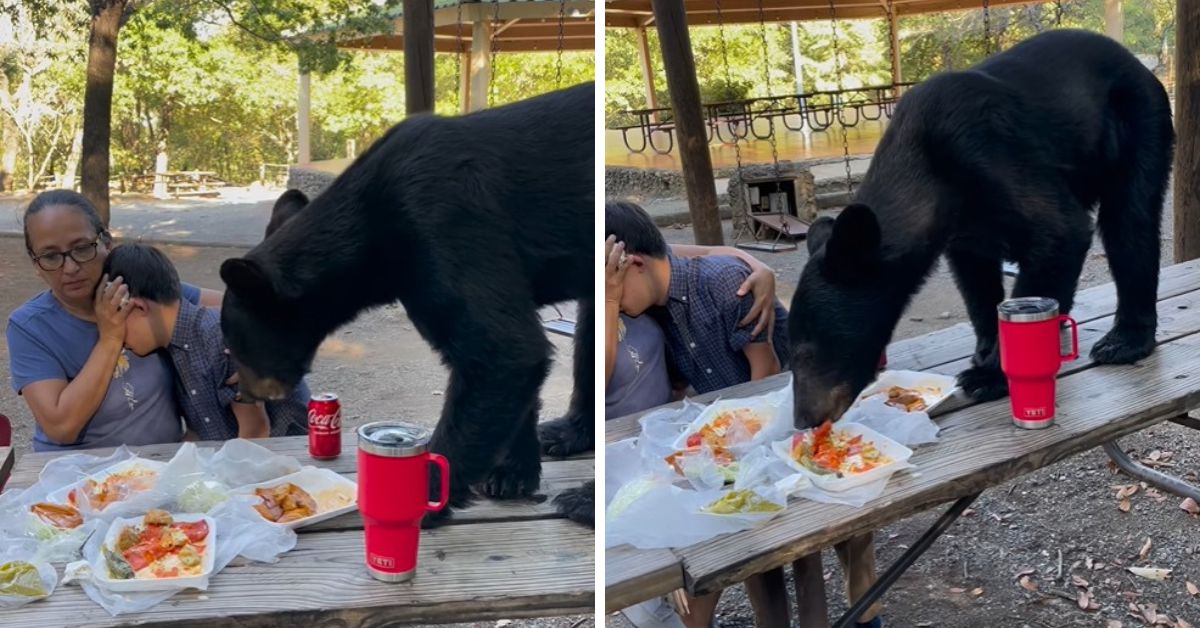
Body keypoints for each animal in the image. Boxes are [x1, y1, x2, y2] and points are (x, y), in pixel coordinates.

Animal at [217, 82, 596, 527]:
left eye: (236, 345)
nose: (242, 393)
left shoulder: (446, 225)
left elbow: (502, 350)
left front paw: (422, 500)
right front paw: (511, 474)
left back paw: (585, 499)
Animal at [788, 29, 1174, 429]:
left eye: (807, 352)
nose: (803, 419)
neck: (928, 169)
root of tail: (1135, 61)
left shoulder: (991, 151)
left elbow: (1061, 231)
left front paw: (989, 375)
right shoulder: (967, 233)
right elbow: (976, 282)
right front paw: (985, 350)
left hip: (1139, 121)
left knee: (1130, 222)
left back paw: (1125, 339)